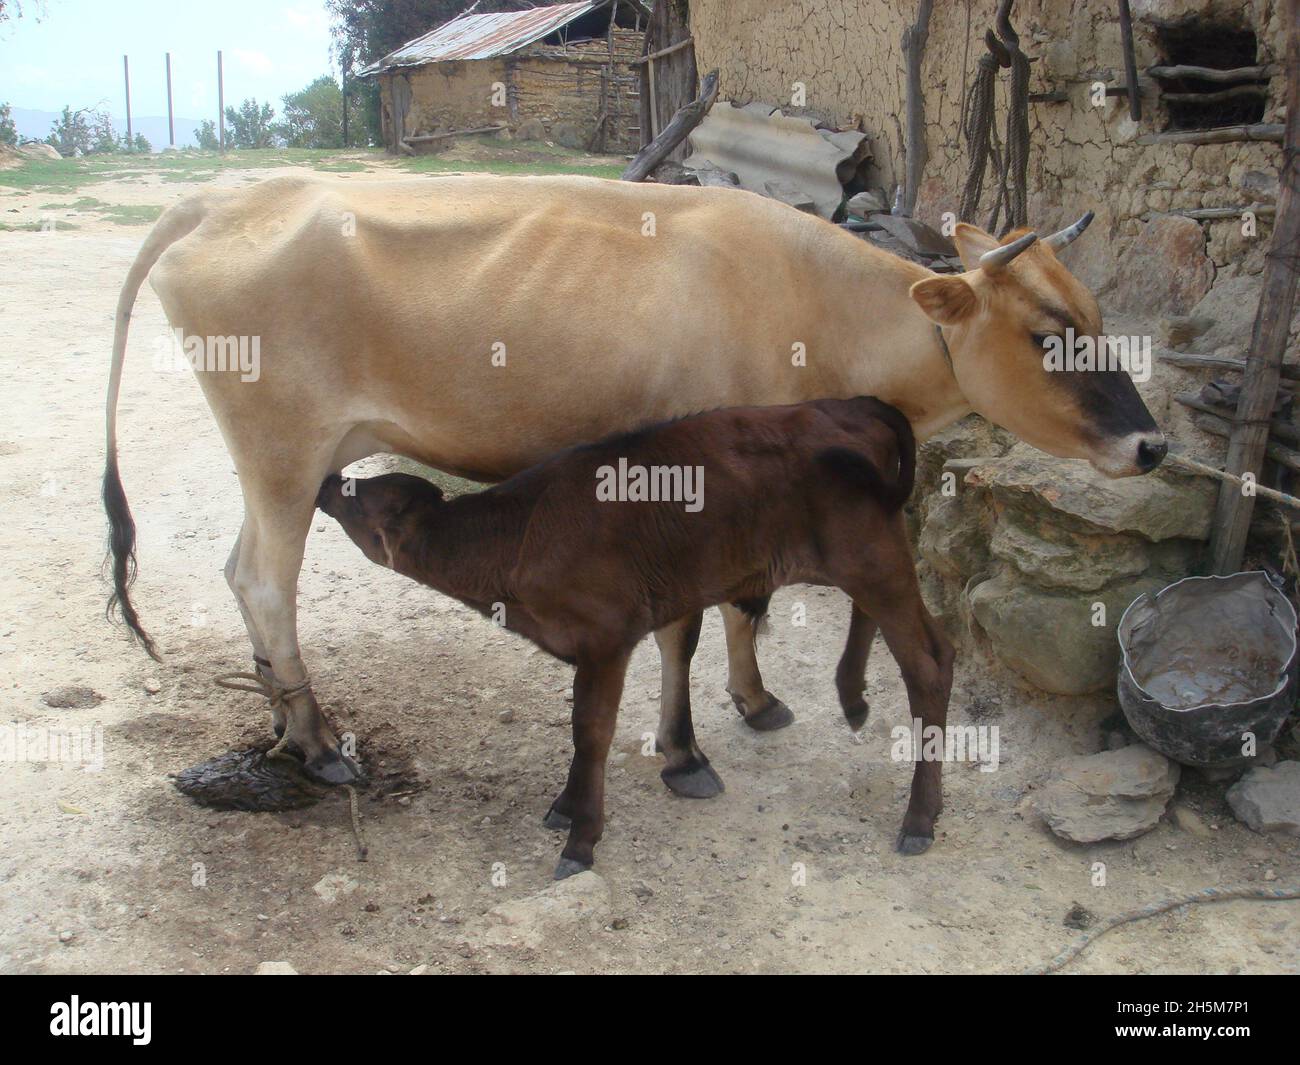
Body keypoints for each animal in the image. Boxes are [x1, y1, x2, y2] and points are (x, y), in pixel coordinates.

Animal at [103, 173, 1165, 790]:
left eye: (1094, 312)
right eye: (1047, 334)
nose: (1153, 447)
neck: (812, 304)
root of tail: (225, 197)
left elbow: (745, 604)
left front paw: (754, 700)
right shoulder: (687, 477)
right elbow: (685, 623)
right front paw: (685, 751)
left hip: (286, 460)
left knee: (241, 570)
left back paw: (286, 726)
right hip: (283, 452)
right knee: (263, 579)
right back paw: (321, 743)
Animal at [316, 395, 942, 875]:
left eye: (359, 497)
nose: (328, 480)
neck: (515, 548)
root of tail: (850, 403)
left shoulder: (605, 636)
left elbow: (590, 731)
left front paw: (580, 838)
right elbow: (583, 728)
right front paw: (566, 807)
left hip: (872, 556)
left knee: (928, 667)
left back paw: (919, 818)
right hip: (864, 556)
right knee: (926, 640)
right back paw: (854, 701)